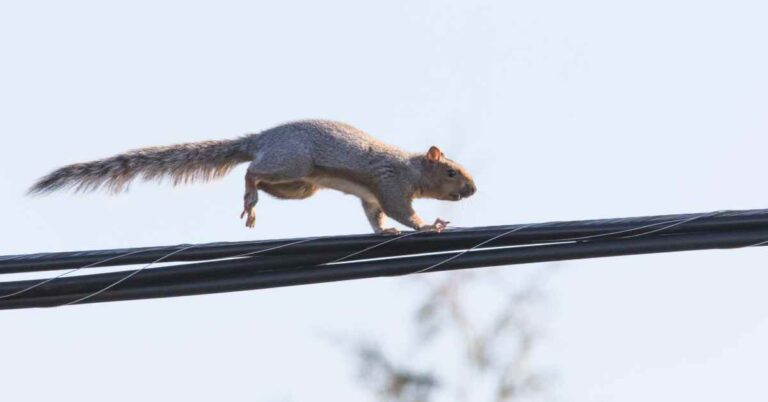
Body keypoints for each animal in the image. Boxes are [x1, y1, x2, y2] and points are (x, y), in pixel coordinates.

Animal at [28, 120, 477, 234]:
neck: (411, 166)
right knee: (250, 171)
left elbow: (375, 214)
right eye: (452, 171)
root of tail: (260, 139)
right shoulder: (391, 183)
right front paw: (427, 225)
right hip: (294, 164)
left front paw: (385, 232)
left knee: (261, 179)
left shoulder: (371, 195)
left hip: (300, 186)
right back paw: (249, 195)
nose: (472, 190)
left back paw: (253, 203)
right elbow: (400, 209)